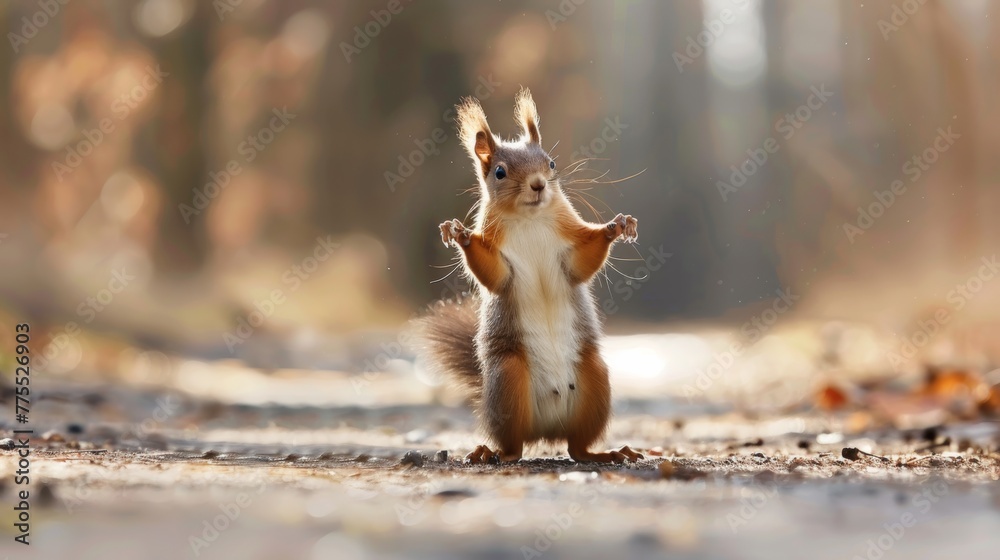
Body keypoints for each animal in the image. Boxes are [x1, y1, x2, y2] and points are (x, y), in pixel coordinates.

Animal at [418, 88, 643, 464]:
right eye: (499, 172)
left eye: (551, 163)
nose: (538, 185)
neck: (530, 219)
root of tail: (548, 429)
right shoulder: (500, 257)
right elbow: (493, 274)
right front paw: (461, 234)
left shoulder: (569, 243)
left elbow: (583, 262)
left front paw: (616, 226)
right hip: (509, 378)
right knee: (516, 445)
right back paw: (492, 453)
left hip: (594, 375)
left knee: (577, 446)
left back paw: (604, 453)